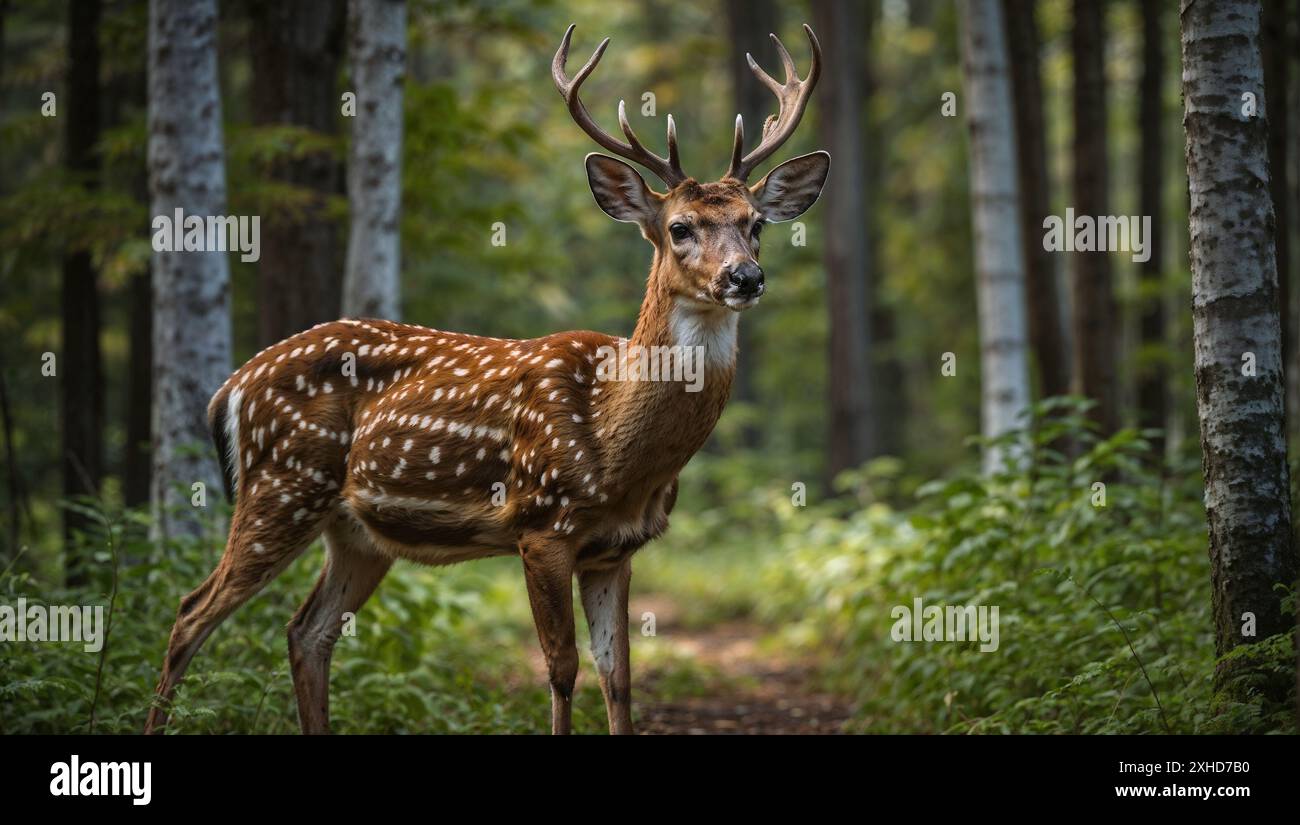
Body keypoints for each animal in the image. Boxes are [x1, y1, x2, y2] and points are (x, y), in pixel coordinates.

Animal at [144, 23, 828, 736]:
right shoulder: (540, 523)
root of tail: (232, 386)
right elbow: (562, 670)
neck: (617, 447)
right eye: (679, 228)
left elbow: (619, 679)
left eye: (756, 224)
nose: (744, 277)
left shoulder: (617, 549)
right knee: (191, 612)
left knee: (306, 631)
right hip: (281, 486)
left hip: (356, 531)